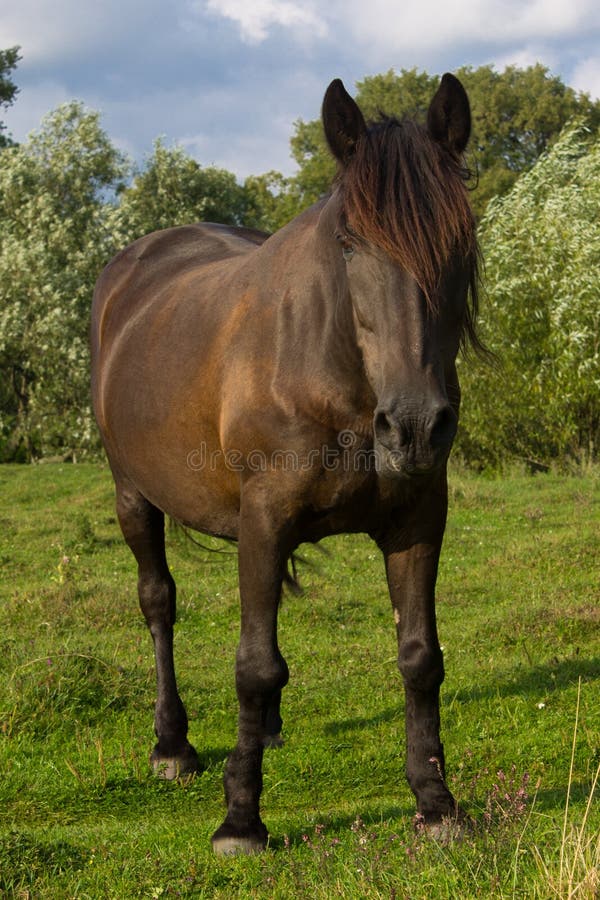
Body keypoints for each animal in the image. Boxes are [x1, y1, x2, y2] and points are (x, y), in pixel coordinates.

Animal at [91, 73, 481, 855]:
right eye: (350, 242)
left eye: (463, 235)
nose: (417, 426)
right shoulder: (265, 517)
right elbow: (253, 664)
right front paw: (240, 818)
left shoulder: (419, 517)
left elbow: (420, 657)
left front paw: (435, 802)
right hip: (133, 496)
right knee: (158, 602)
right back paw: (173, 746)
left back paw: (265, 733)